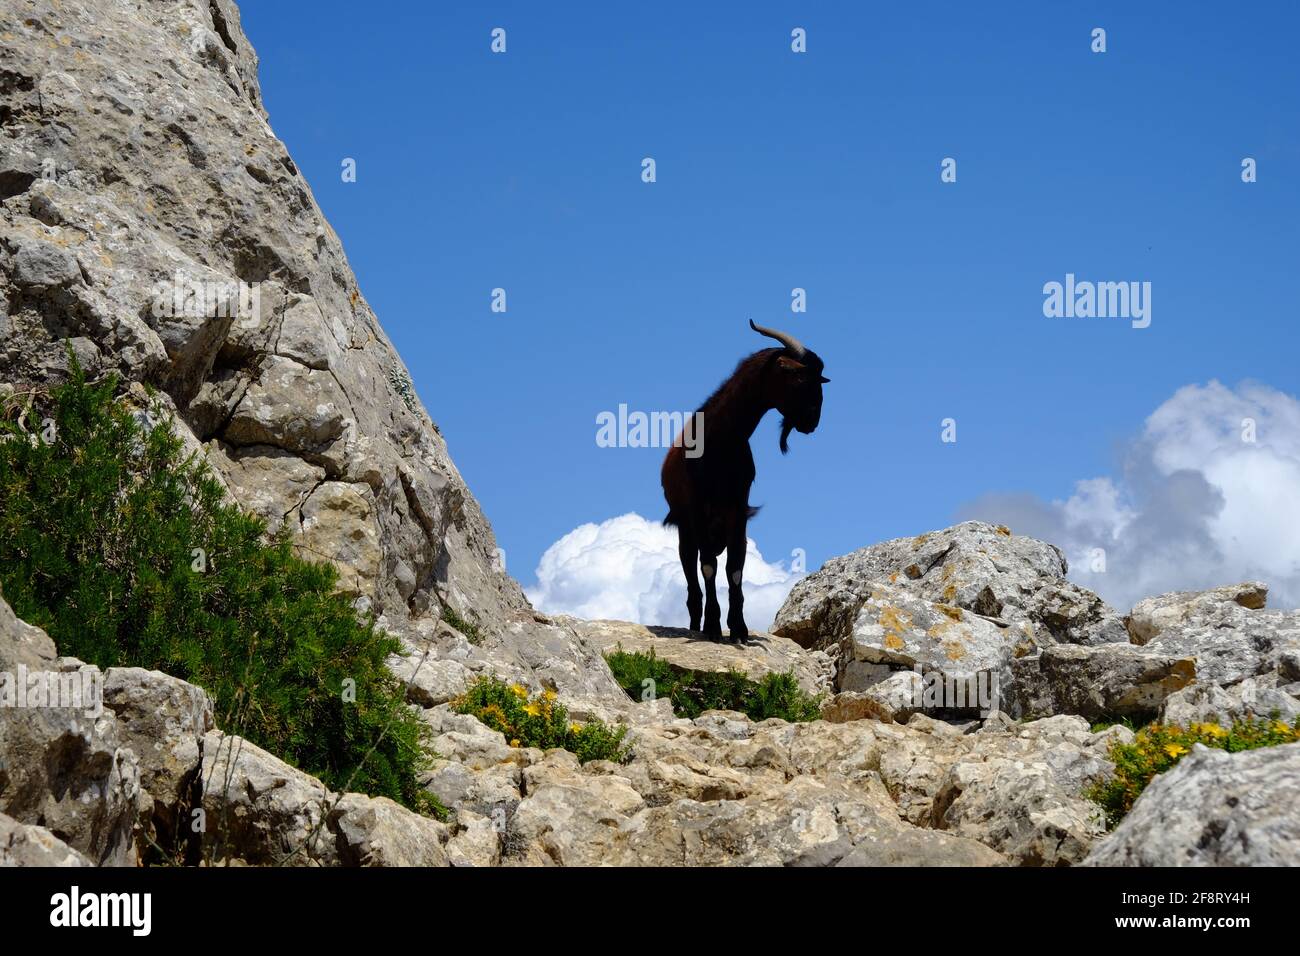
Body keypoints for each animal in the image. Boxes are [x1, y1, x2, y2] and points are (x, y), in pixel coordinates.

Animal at [661, 320, 829, 640]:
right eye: (799, 378)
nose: (812, 420)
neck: (721, 439)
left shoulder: (738, 508)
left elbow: (735, 567)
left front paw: (738, 627)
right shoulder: (698, 508)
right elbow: (709, 567)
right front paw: (713, 626)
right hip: (685, 529)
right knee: (692, 582)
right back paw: (695, 625)